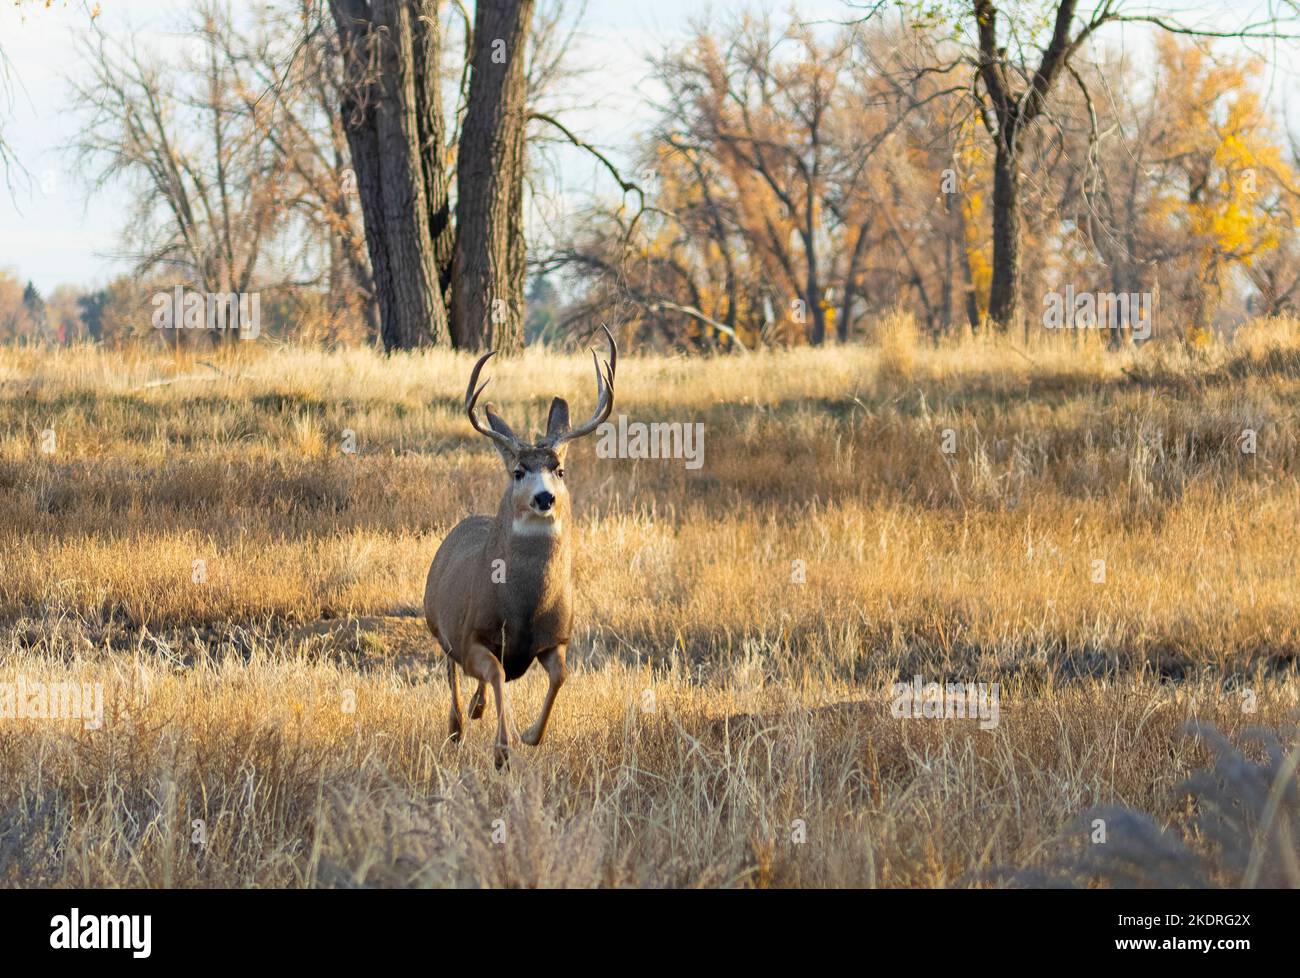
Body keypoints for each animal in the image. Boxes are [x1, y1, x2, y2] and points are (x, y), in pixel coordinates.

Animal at [424, 326, 616, 768]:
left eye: (560, 469)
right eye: (517, 471)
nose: (544, 497)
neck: (525, 605)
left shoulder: (556, 639)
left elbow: (560, 675)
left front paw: (529, 734)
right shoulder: (473, 636)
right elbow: (494, 673)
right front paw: (503, 747)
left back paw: (478, 711)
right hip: (437, 623)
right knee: (451, 668)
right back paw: (458, 726)